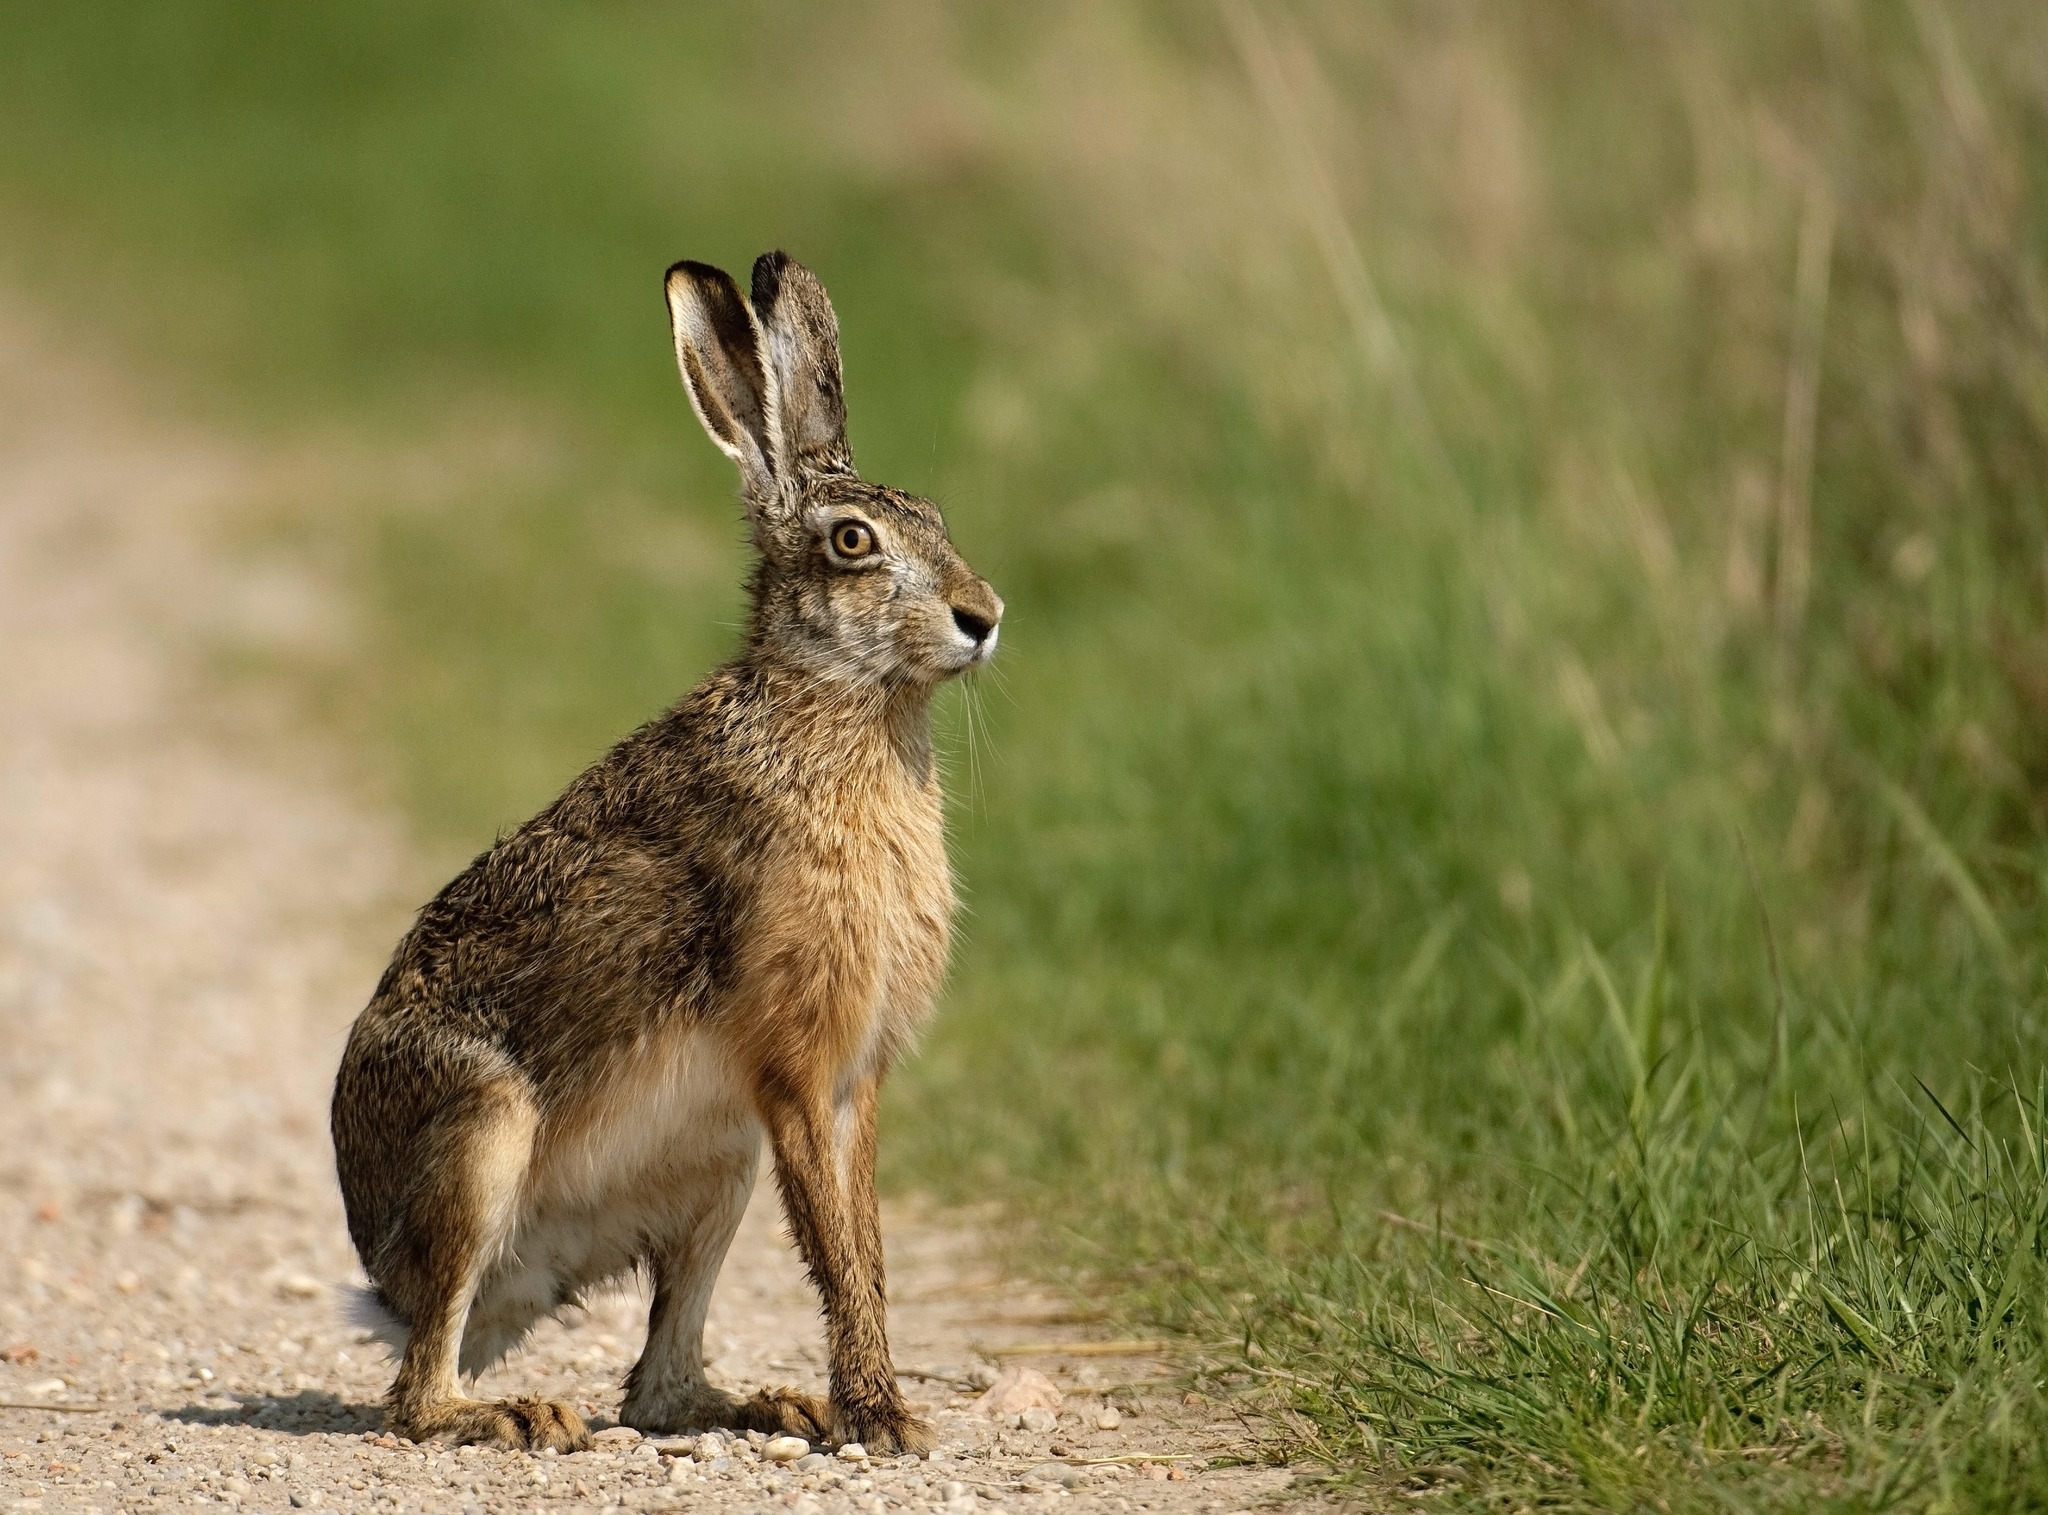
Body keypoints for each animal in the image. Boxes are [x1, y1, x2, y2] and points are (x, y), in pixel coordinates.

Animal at [330, 251, 1002, 1455]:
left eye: (934, 515)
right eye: (853, 543)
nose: (986, 615)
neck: (839, 707)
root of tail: (384, 1277)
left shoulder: (850, 1082)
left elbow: (866, 1246)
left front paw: (870, 1407)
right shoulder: (795, 1062)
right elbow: (837, 1249)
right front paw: (882, 1418)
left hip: (718, 1167)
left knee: (657, 1387)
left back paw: (768, 1405)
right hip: (480, 1135)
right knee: (413, 1398)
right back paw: (515, 1411)